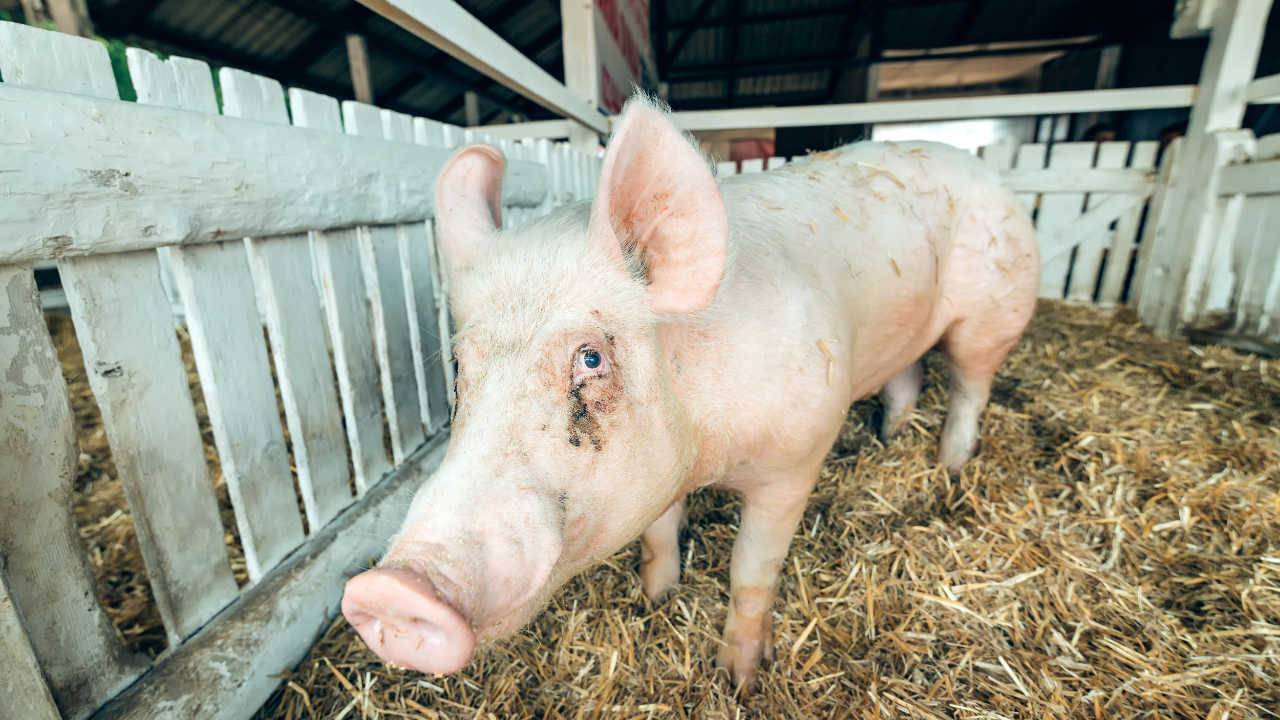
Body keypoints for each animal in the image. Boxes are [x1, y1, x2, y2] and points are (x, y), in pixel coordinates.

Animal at [341, 95, 1038, 689]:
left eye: (590, 358)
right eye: (460, 366)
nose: (391, 590)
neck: (706, 456)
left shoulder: (796, 458)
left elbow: (751, 572)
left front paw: (738, 680)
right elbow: (657, 535)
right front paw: (656, 600)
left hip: (996, 310)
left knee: (971, 384)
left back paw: (952, 465)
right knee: (909, 373)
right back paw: (890, 437)